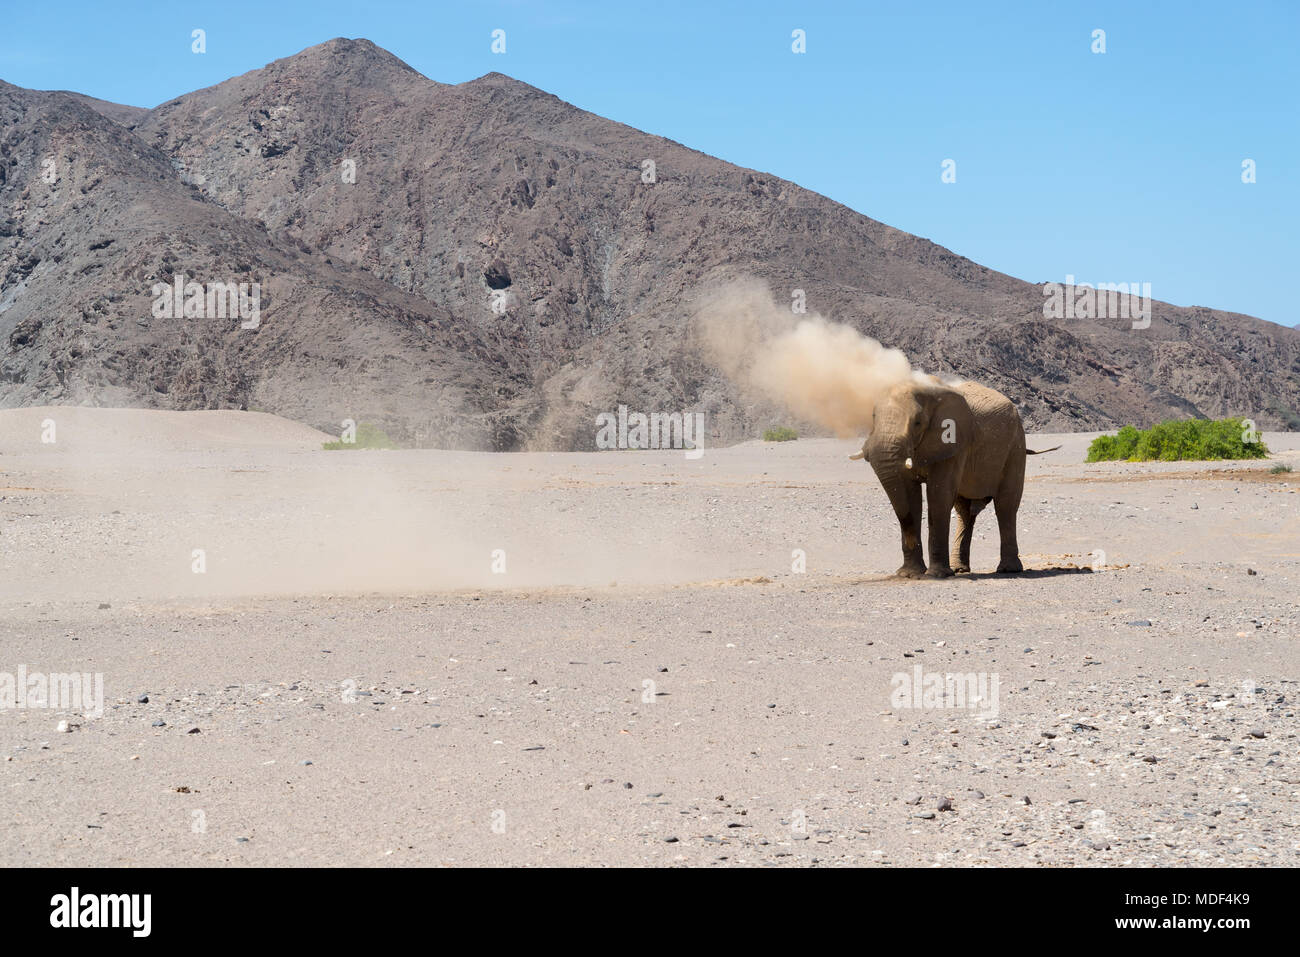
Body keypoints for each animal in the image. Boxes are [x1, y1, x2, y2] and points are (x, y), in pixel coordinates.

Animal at [849, 378, 1059, 578]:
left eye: (917, 422)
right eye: (873, 416)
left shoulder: (955, 442)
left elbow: (939, 495)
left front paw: (936, 575)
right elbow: (910, 495)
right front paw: (909, 574)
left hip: (1015, 446)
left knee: (1006, 505)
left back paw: (1008, 570)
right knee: (965, 511)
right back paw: (960, 569)